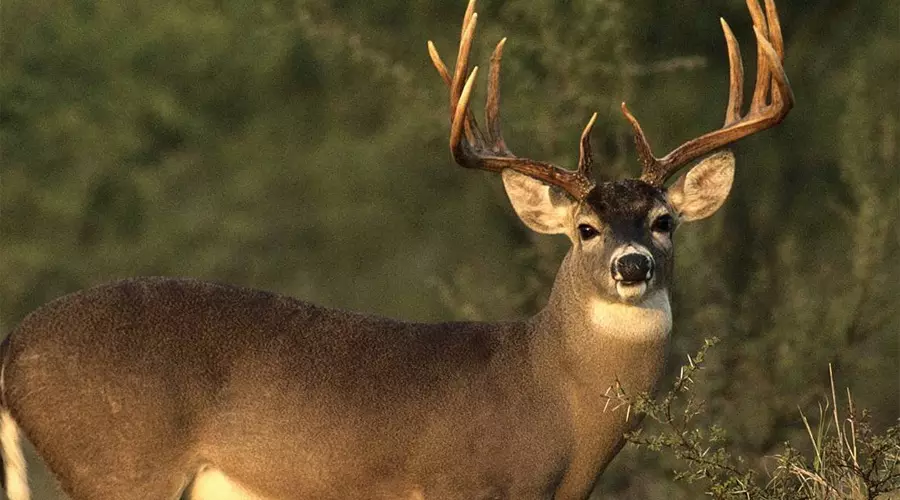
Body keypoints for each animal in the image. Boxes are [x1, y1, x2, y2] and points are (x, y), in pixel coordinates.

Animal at [0, 0, 788, 498]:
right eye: (585, 229)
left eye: (664, 220)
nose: (632, 266)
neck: (555, 405)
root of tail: (12, 349)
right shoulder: (461, 485)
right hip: (118, 463)